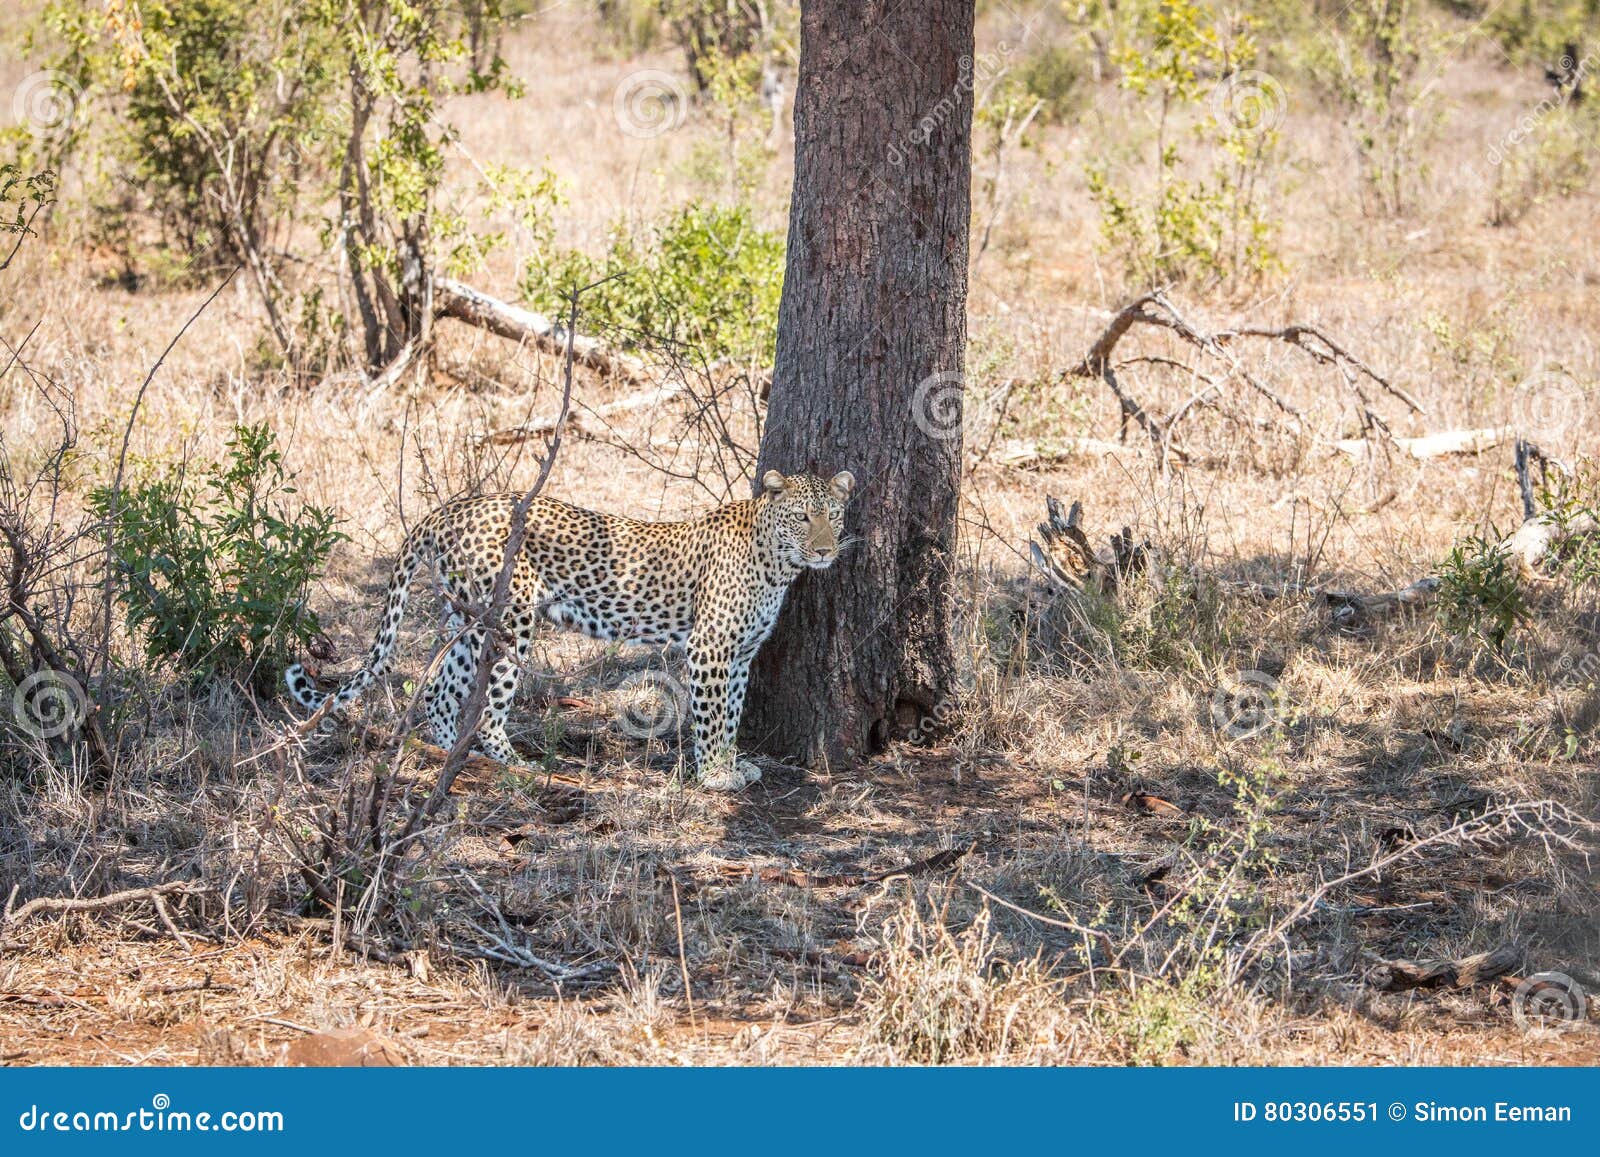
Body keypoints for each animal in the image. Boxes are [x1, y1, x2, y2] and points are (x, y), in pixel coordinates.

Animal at [284, 469, 855, 791]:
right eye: (804, 517)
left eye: (835, 515)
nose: (826, 550)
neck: (779, 563)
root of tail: (455, 506)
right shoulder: (710, 647)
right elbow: (713, 718)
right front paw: (716, 776)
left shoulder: (739, 655)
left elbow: (732, 716)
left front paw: (733, 764)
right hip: (509, 619)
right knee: (486, 708)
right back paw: (518, 767)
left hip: (467, 616)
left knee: (441, 693)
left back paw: (455, 756)